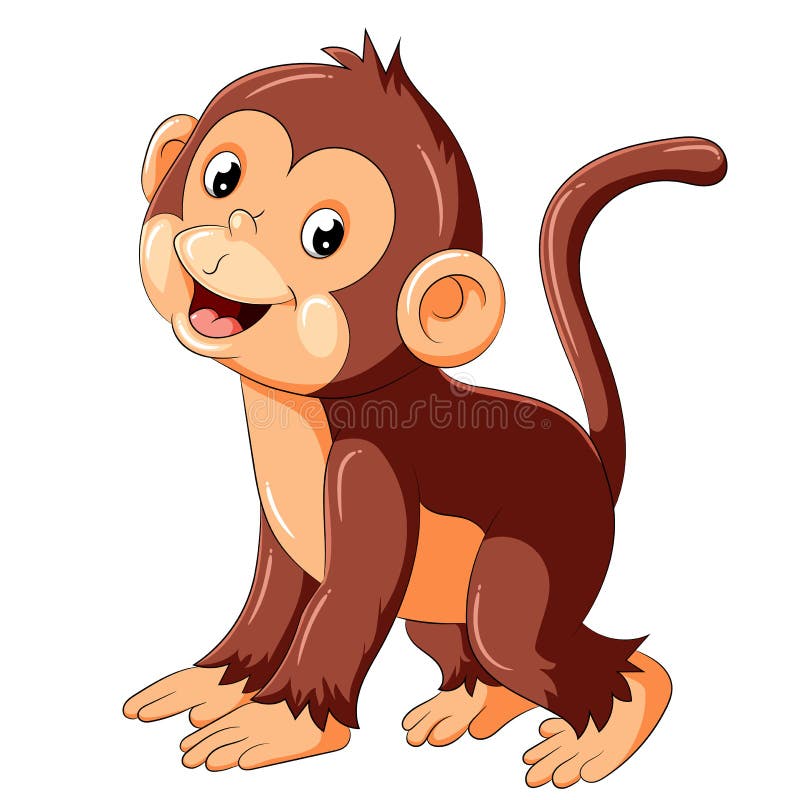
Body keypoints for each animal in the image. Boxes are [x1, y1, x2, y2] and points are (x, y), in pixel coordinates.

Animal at [123, 34, 726, 788]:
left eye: (326, 236)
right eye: (222, 177)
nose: (239, 224)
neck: (310, 407)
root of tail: (589, 455)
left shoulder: (368, 470)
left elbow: (346, 605)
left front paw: (278, 724)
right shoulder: (279, 525)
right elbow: (270, 598)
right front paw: (214, 683)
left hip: (545, 547)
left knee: (548, 646)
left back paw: (601, 736)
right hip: (440, 610)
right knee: (474, 647)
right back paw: (471, 706)